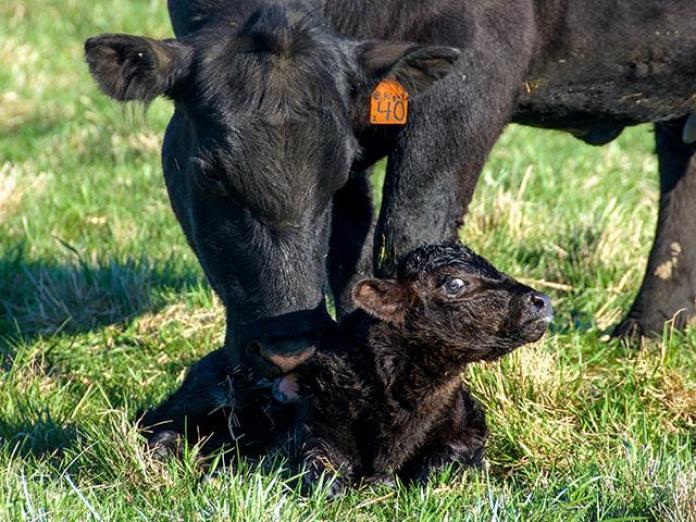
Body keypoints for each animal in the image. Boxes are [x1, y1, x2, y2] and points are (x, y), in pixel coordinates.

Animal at [84, 0, 696, 380]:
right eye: (210, 173)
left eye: (332, 174)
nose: (288, 352)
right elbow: (349, 258)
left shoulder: (471, 80)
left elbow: (412, 226)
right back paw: (648, 333)